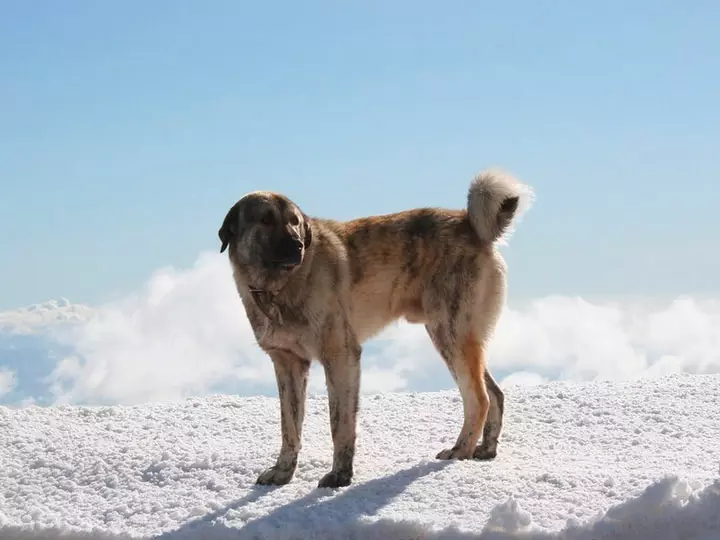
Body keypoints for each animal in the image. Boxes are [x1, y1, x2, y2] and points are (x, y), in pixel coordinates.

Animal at [219, 169, 536, 490]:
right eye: (266, 220)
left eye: (294, 222)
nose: (298, 245)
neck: (278, 286)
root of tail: (469, 223)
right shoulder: (288, 364)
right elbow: (290, 426)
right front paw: (283, 472)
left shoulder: (341, 356)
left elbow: (340, 424)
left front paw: (340, 476)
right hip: (458, 338)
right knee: (494, 393)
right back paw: (485, 448)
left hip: (450, 334)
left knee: (479, 399)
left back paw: (461, 451)